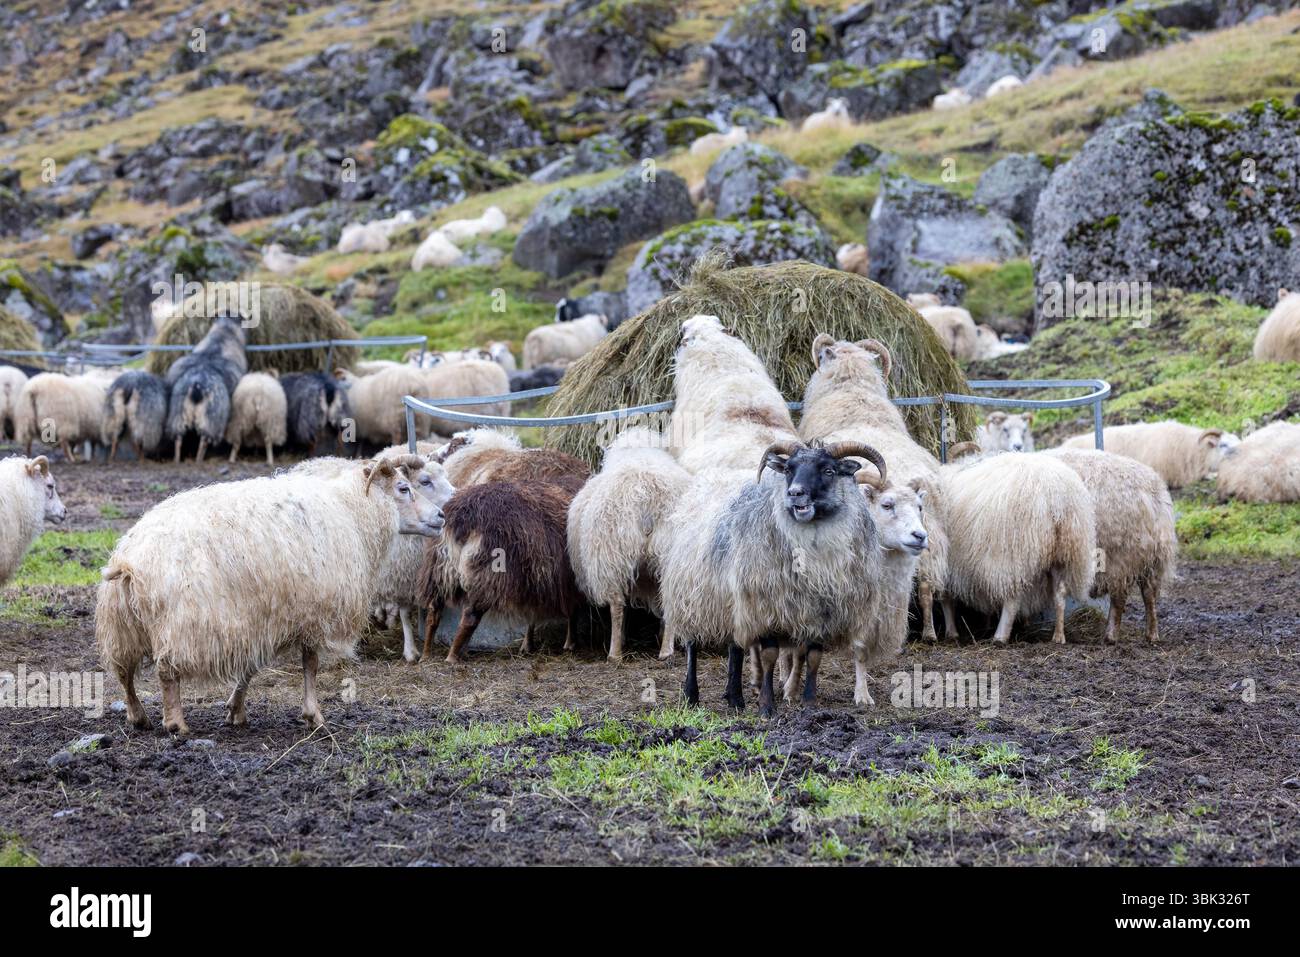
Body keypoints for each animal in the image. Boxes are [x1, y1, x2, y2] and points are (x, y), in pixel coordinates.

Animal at [95, 458, 443, 734]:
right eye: (403, 488)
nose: (441, 516)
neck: (353, 512)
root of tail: (130, 559)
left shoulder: (268, 616)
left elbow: (251, 667)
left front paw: (236, 709)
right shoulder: (310, 612)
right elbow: (310, 664)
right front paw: (313, 714)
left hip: (122, 625)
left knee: (124, 672)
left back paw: (137, 715)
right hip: (182, 623)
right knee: (166, 671)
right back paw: (175, 723)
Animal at [567, 426, 691, 660]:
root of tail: (646, 495)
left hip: (611, 556)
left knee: (616, 605)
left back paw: (615, 652)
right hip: (668, 553)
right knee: (667, 600)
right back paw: (666, 650)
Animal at [940, 452, 1096, 644]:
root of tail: (1056, 495)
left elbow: (946, 599)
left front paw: (951, 632)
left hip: (1014, 552)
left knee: (1012, 599)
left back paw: (1000, 636)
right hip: (1064, 552)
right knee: (1059, 593)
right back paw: (1058, 636)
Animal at [1043, 447, 1177, 643]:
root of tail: (1155, 493)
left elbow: (1058, 595)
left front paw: (1057, 636)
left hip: (1122, 554)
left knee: (1120, 595)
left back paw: (1110, 635)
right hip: (1148, 555)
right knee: (1149, 593)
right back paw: (1151, 634)